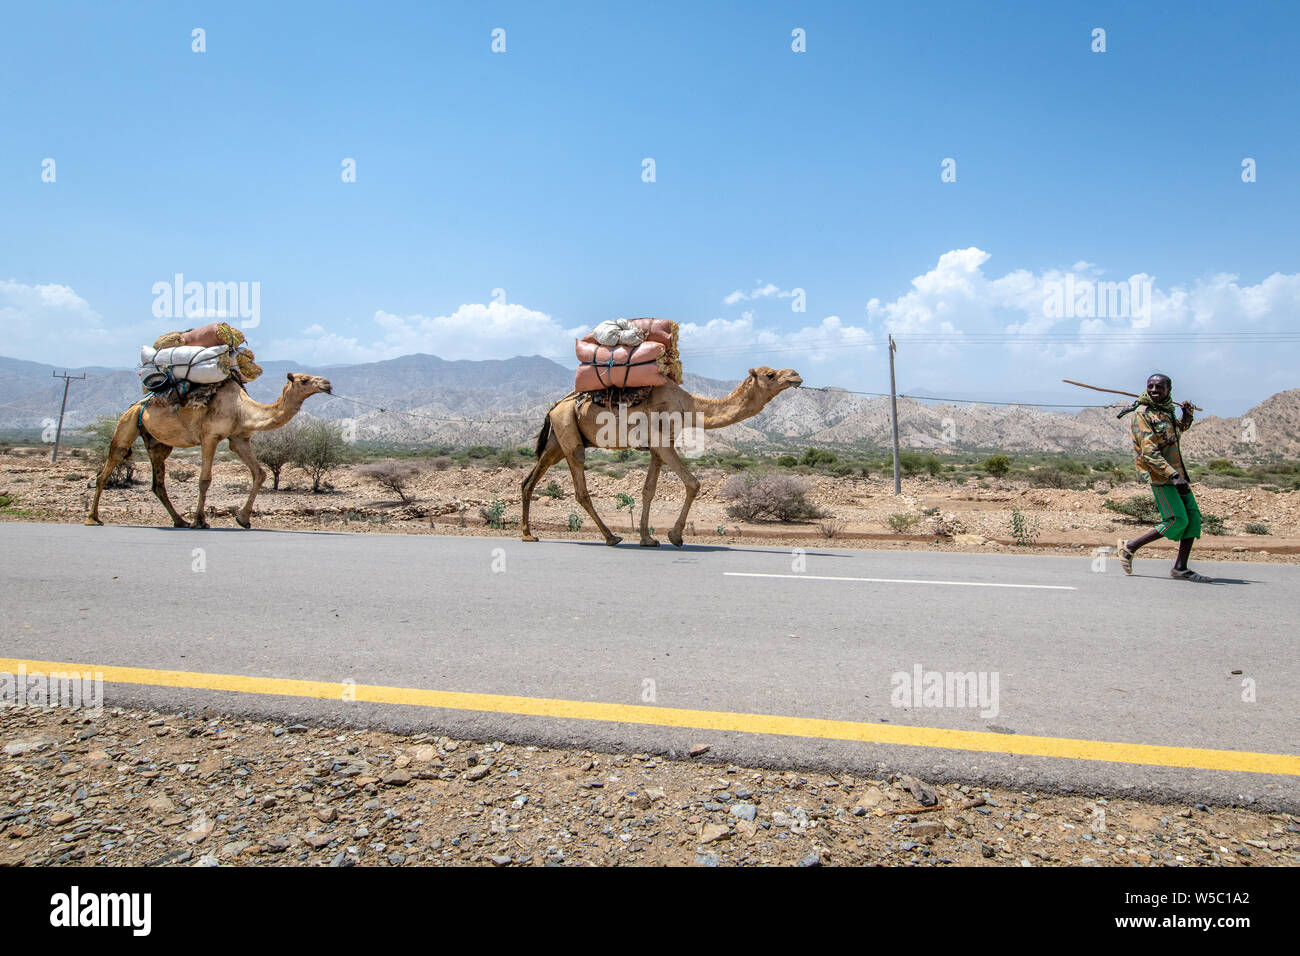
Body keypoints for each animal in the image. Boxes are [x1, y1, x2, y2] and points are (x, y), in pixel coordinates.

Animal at [85, 372, 333, 529]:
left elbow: (260, 473)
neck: (241, 408)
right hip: (128, 423)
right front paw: (200, 521)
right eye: (304, 379)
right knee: (108, 466)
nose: (328, 384)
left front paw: (243, 519)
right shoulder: (209, 437)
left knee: (158, 483)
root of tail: (138, 403)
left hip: (158, 443)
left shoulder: (239, 439)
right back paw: (93, 518)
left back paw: (179, 521)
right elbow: (204, 480)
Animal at [521, 366, 802, 547]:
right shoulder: (663, 442)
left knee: (529, 481)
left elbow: (649, 490)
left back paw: (528, 534)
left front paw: (648, 538)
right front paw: (675, 537)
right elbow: (693, 483)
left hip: (558, 440)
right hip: (569, 436)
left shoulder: (658, 448)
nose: (796, 375)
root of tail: (555, 407)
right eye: (770, 374)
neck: (688, 406)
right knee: (580, 489)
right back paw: (611, 537)